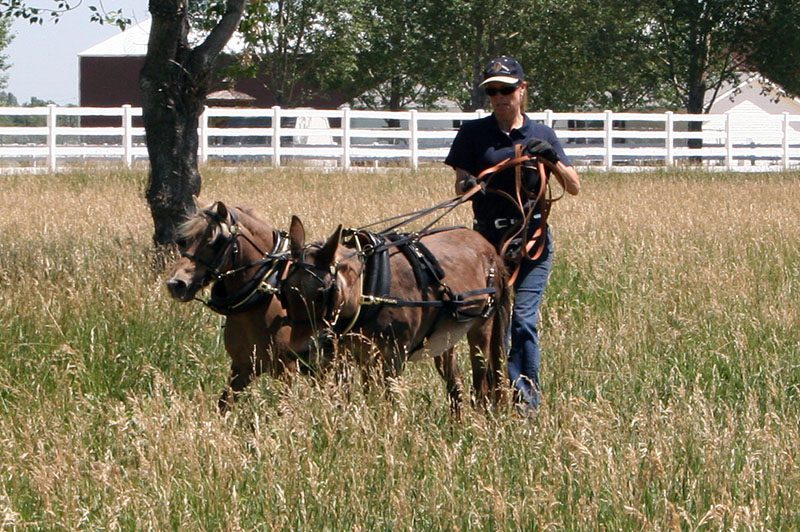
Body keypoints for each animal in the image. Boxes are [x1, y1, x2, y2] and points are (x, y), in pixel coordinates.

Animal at [165, 199, 313, 413]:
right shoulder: (242, 367)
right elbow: (223, 405)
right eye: (184, 240)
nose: (176, 284)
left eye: (215, 241)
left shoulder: (287, 369)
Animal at [281, 215, 511, 416]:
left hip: (482, 327)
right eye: (286, 293)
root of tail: (489, 249)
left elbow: (389, 399)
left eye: (322, 294)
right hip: (445, 339)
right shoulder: (354, 356)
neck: (367, 289)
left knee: (481, 384)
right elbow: (360, 395)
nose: (300, 354)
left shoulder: (394, 356)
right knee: (455, 385)